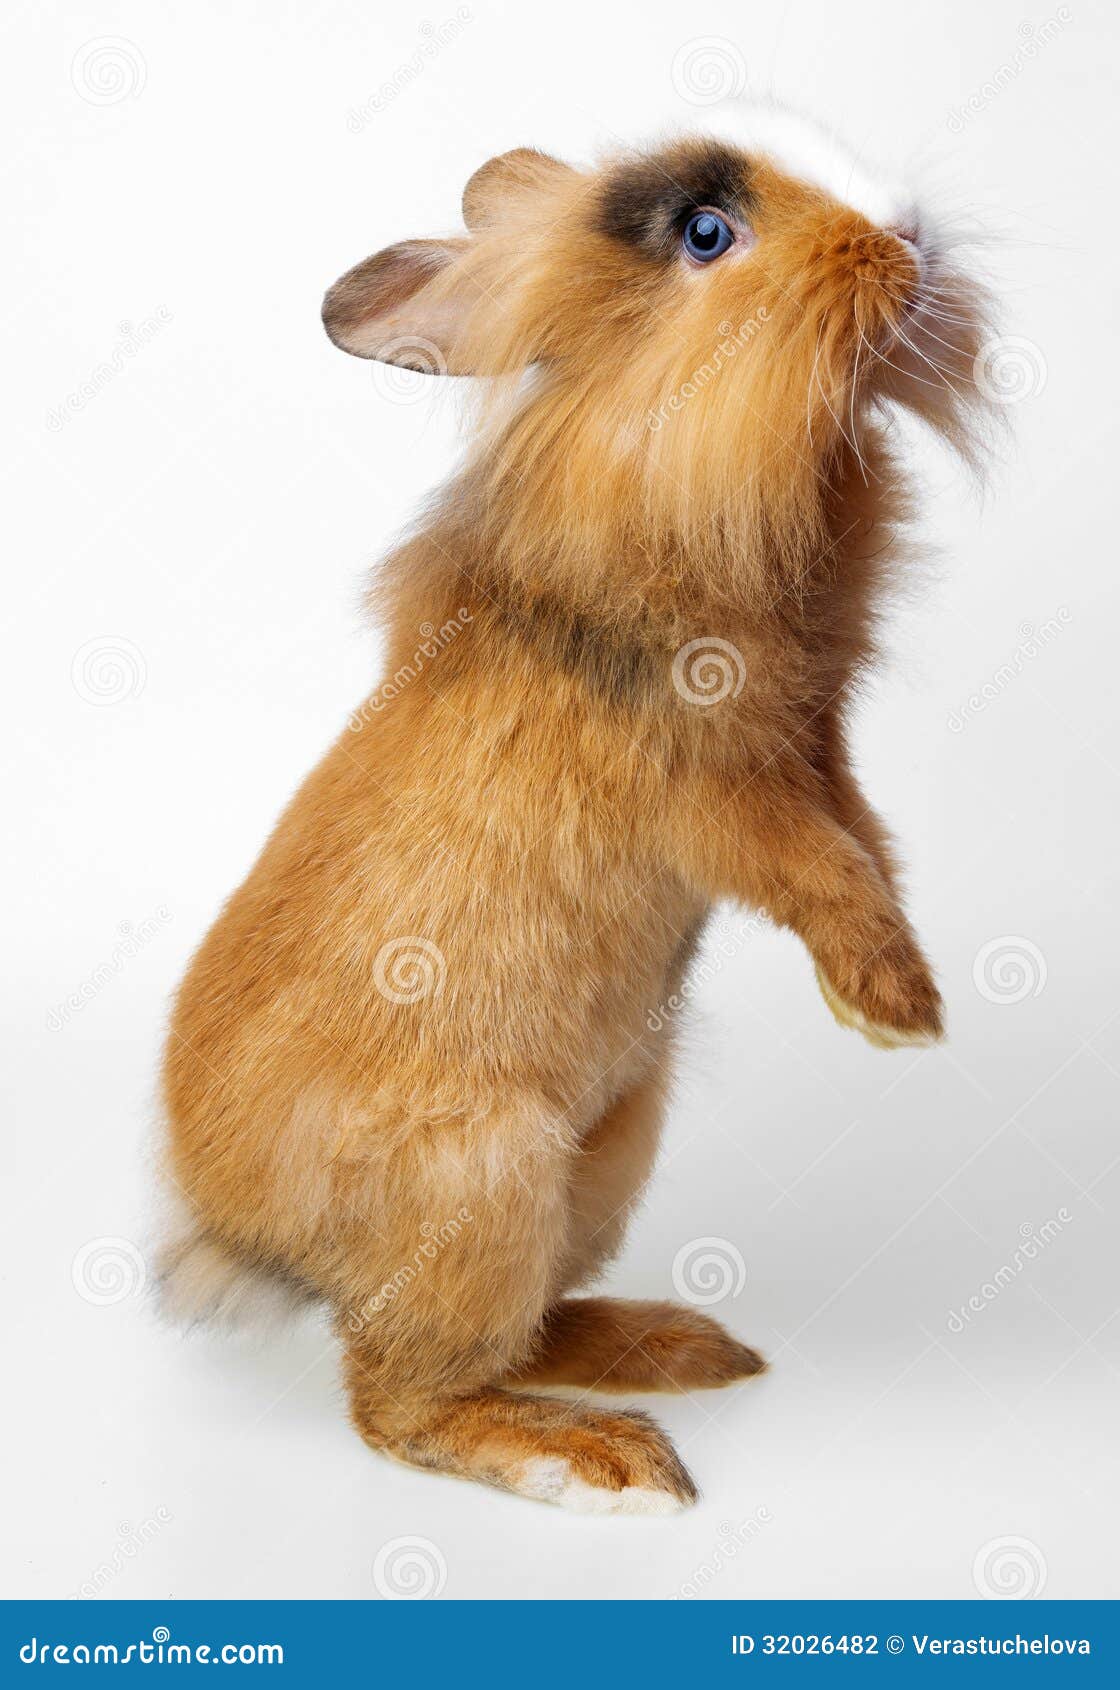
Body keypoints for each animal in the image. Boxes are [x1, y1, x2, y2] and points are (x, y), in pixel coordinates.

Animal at [160, 102, 994, 1515]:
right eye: (707, 234)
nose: (908, 236)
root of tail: (246, 1239)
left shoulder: (819, 742)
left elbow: (866, 841)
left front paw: (900, 998)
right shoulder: (719, 791)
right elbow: (818, 870)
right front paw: (898, 1015)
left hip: (601, 1163)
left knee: (511, 1332)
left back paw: (682, 1349)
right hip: (486, 1183)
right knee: (401, 1401)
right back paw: (604, 1459)